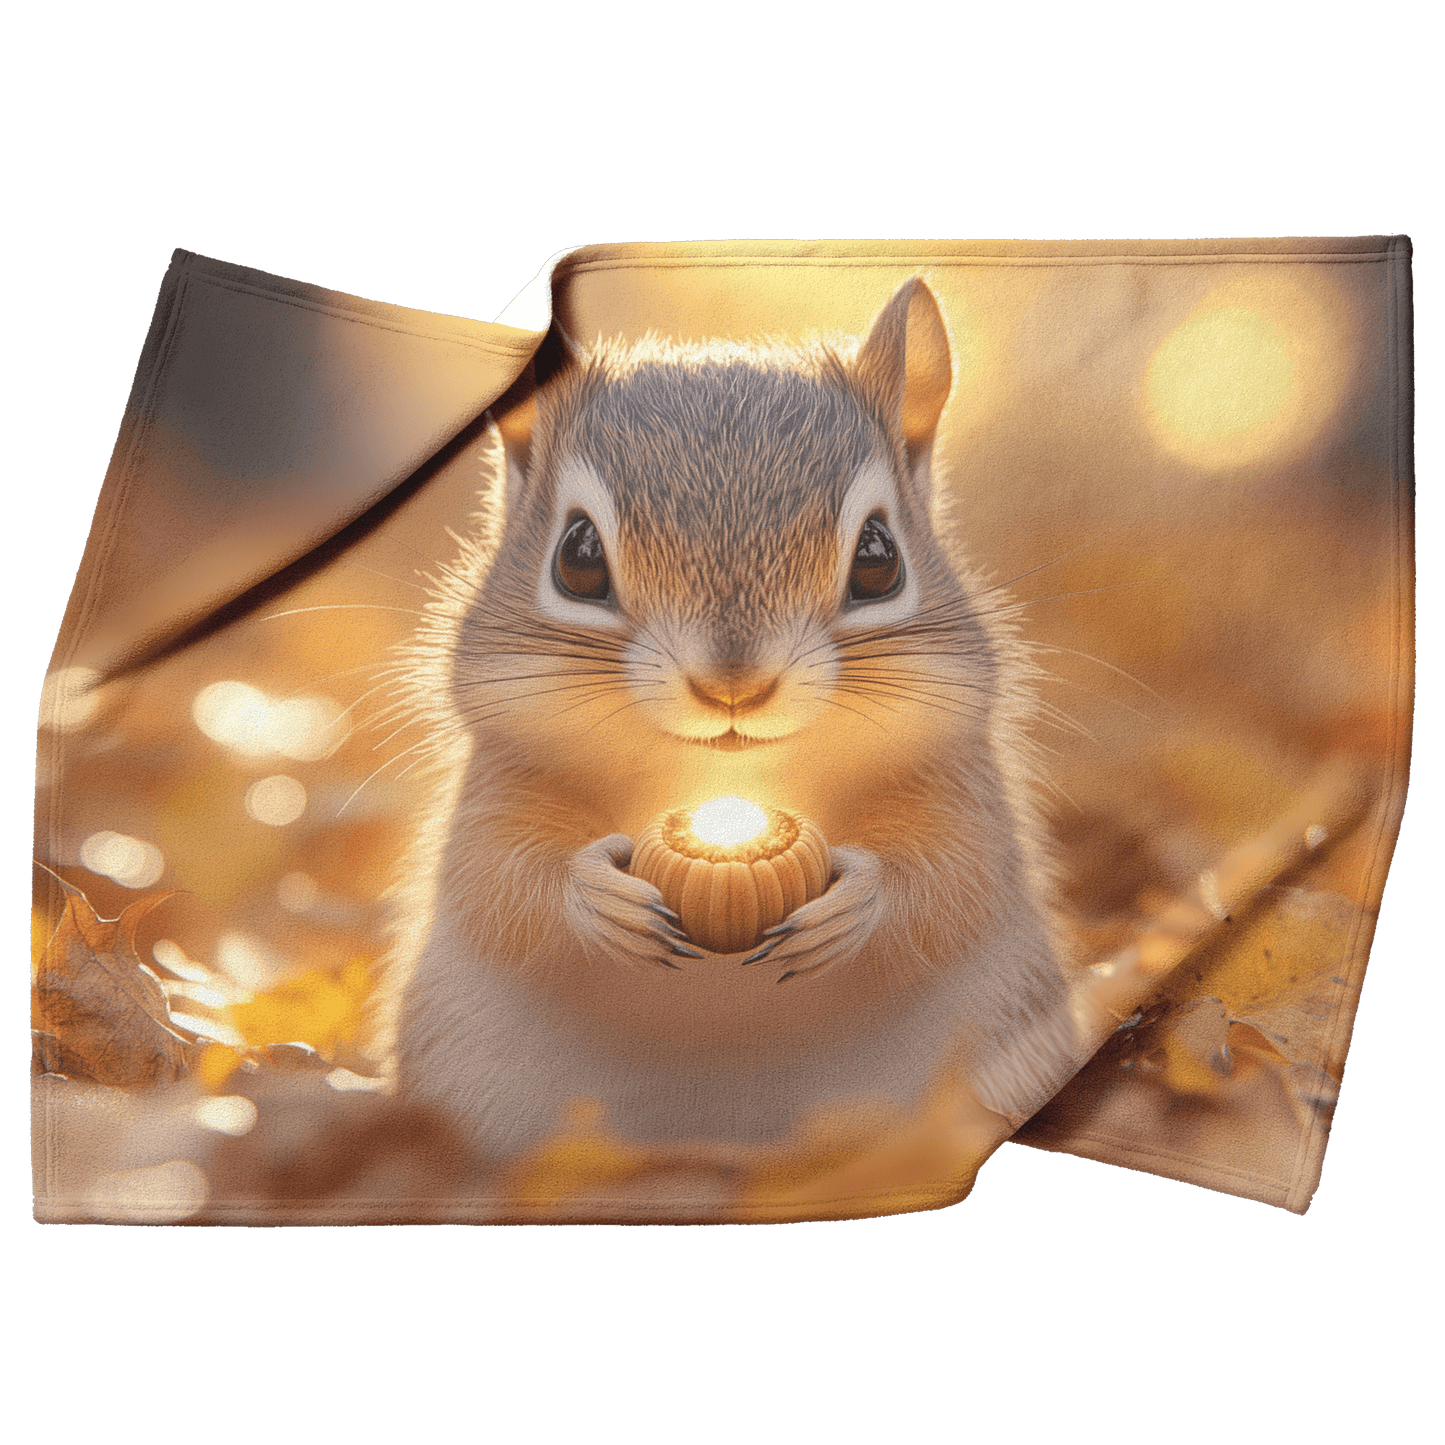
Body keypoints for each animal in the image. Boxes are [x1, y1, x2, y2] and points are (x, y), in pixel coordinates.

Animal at [374, 277, 1082, 1165]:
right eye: (577, 556)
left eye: (878, 556)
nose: (733, 686)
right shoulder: (501, 781)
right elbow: (499, 881)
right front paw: (595, 896)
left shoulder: (955, 782)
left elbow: (953, 880)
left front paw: (860, 902)